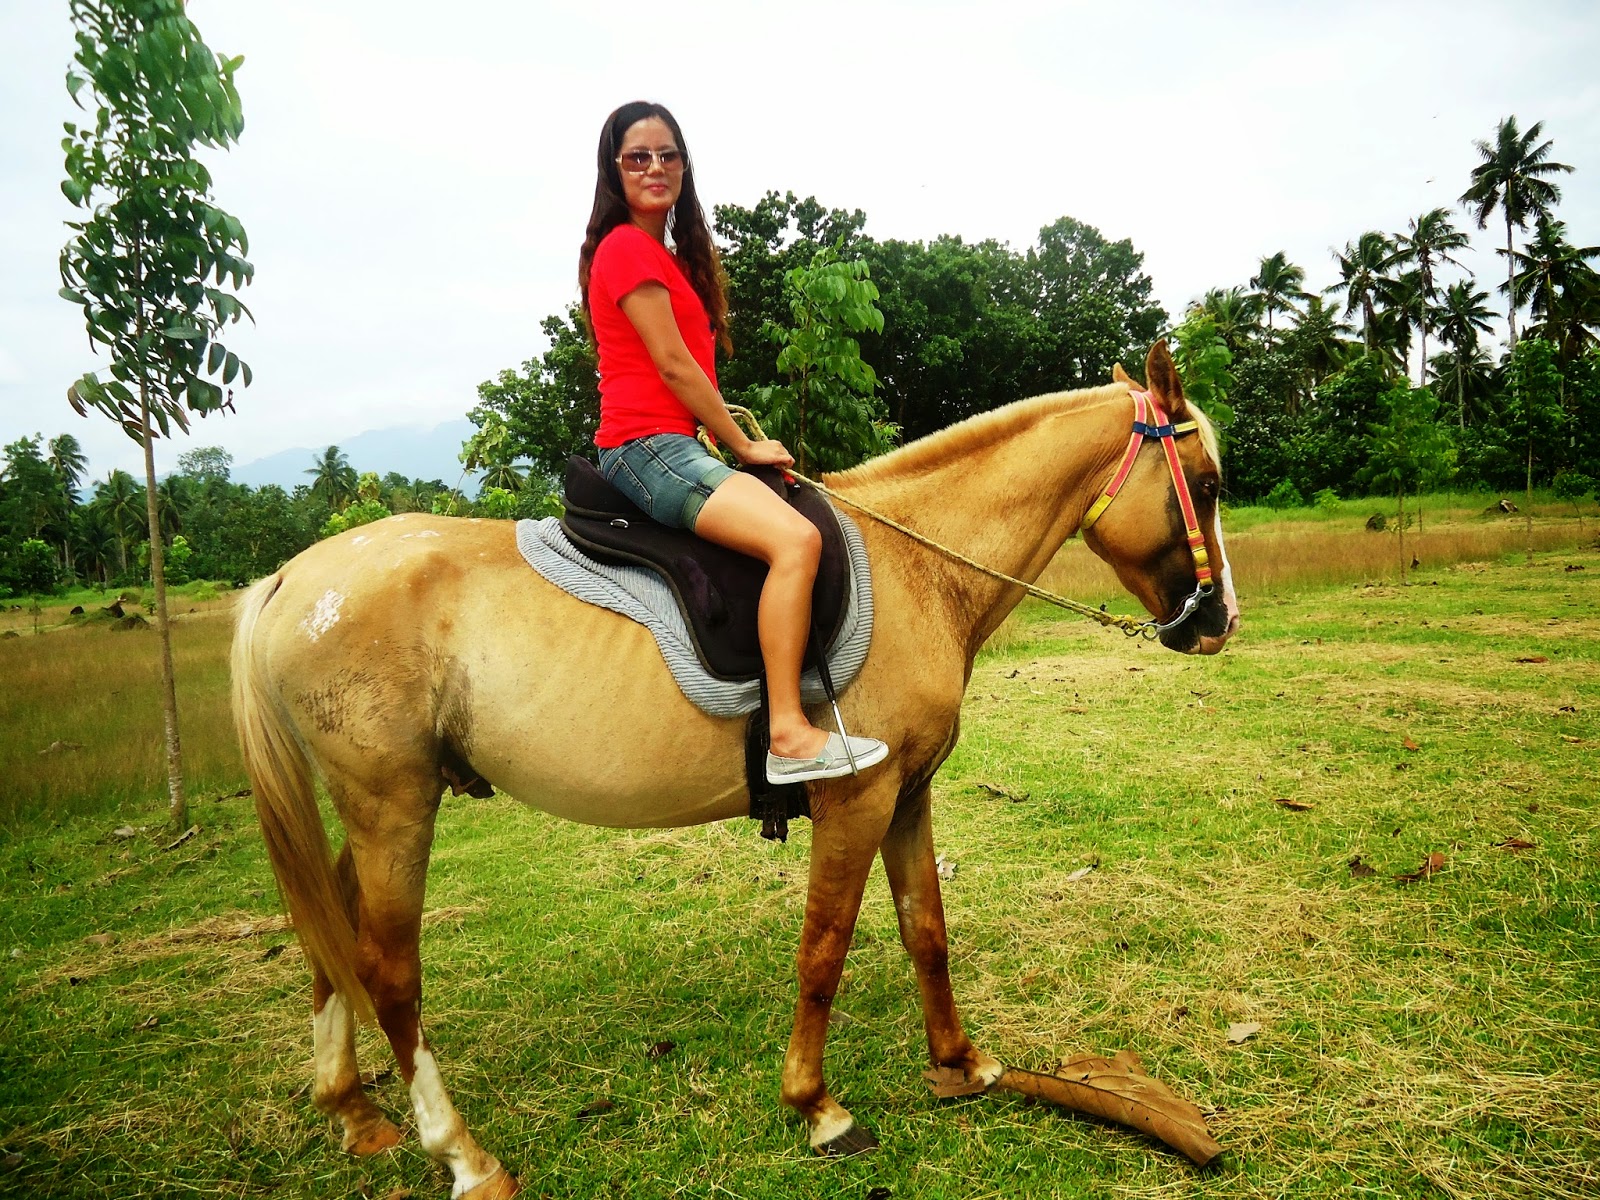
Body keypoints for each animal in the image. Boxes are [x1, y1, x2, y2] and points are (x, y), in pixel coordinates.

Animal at [231, 341, 1238, 1198]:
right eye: (1208, 485)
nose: (1217, 619)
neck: (912, 564)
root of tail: (291, 581)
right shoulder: (859, 798)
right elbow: (825, 947)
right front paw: (817, 1106)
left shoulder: (908, 794)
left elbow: (926, 930)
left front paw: (960, 1062)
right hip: (394, 807)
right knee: (389, 972)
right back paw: (465, 1157)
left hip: (381, 807)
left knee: (329, 938)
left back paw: (353, 1111)